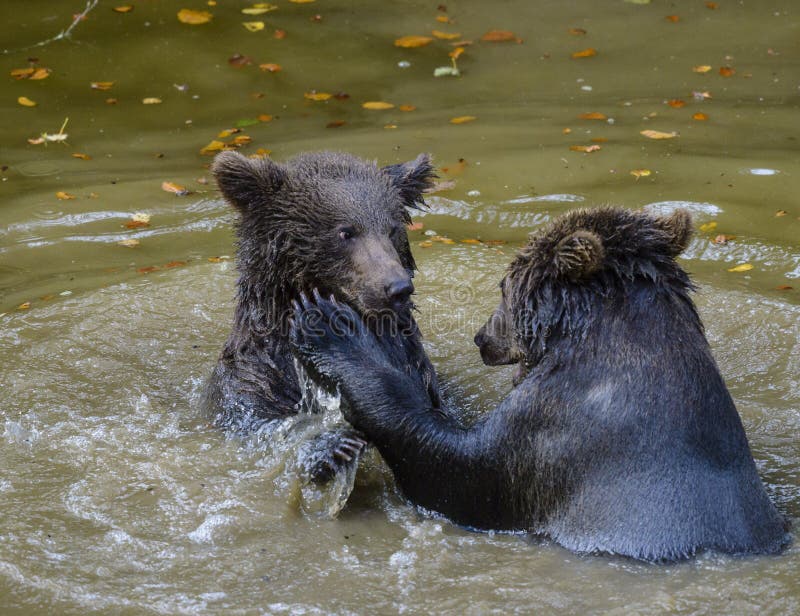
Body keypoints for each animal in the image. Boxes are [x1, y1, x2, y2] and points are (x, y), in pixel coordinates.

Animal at [204, 149, 441, 481]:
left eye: (392, 229)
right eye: (346, 231)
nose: (396, 287)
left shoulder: (416, 369)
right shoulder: (255, 381)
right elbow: (263, 422)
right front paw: (334, 446)